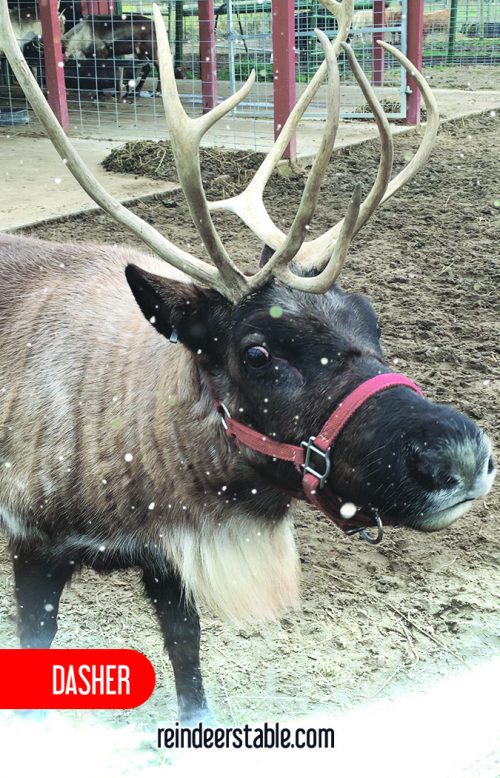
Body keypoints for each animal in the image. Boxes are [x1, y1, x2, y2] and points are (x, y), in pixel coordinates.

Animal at [0, 0, 495, 725]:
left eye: (372, 317)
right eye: (256, 352)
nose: (459, 452)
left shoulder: (168, 558)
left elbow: (187, 657)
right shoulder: (32, 545)